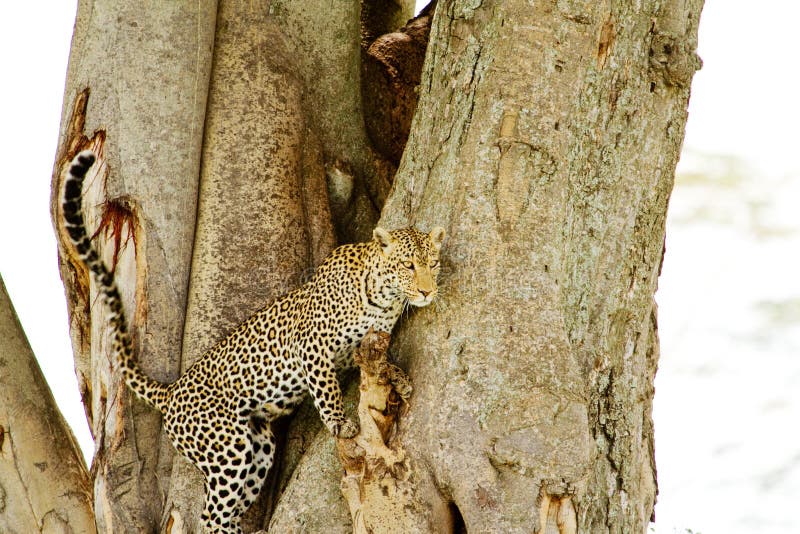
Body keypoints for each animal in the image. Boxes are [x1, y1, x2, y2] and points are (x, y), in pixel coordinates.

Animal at [61, 150, 445, 533]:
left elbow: (382, 360)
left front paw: (400, 379)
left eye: (434, 263)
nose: (428, 291)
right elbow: (326, 389)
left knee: (228, 508)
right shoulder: (312, 346)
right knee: (210, 516)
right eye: (408, 265)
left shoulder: (357, 349)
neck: (384, 296)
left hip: (258, 446)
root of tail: (171, 392)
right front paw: (340, 422)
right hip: (225, 449)